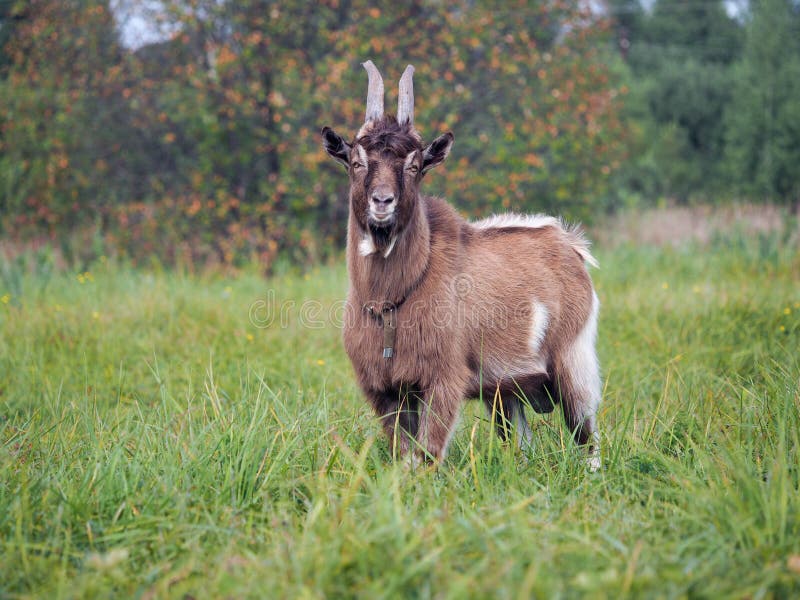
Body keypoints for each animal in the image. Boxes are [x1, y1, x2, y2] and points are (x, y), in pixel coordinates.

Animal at [322, 61, 601, 469]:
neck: (393, 299)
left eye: (416, 165)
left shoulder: (443, 379)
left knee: (587, 435)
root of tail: (571, 244)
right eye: (356, 163)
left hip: (573, 359)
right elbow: (402, 454)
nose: (382, 202)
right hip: (507, 390)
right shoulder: (386, 390)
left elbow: (425, 455)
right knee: (522, 443)